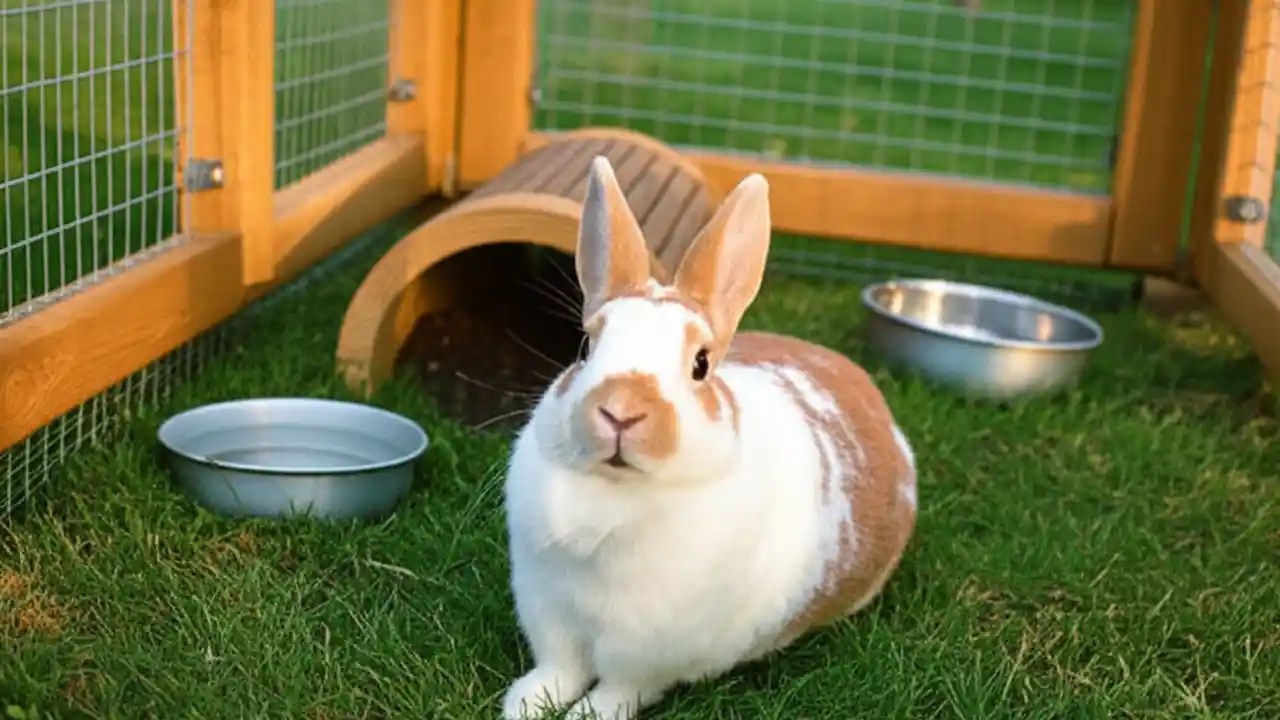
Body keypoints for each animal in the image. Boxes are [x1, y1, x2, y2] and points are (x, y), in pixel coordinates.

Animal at [500, 156, 918, 720]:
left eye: (701, 364)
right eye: (585, 348)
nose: (620, 411)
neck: (615, 494)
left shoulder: (645, 651)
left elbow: (617, 689)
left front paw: (588, 715)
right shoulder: (548, 608)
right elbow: (560, 667)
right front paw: (525, 703)